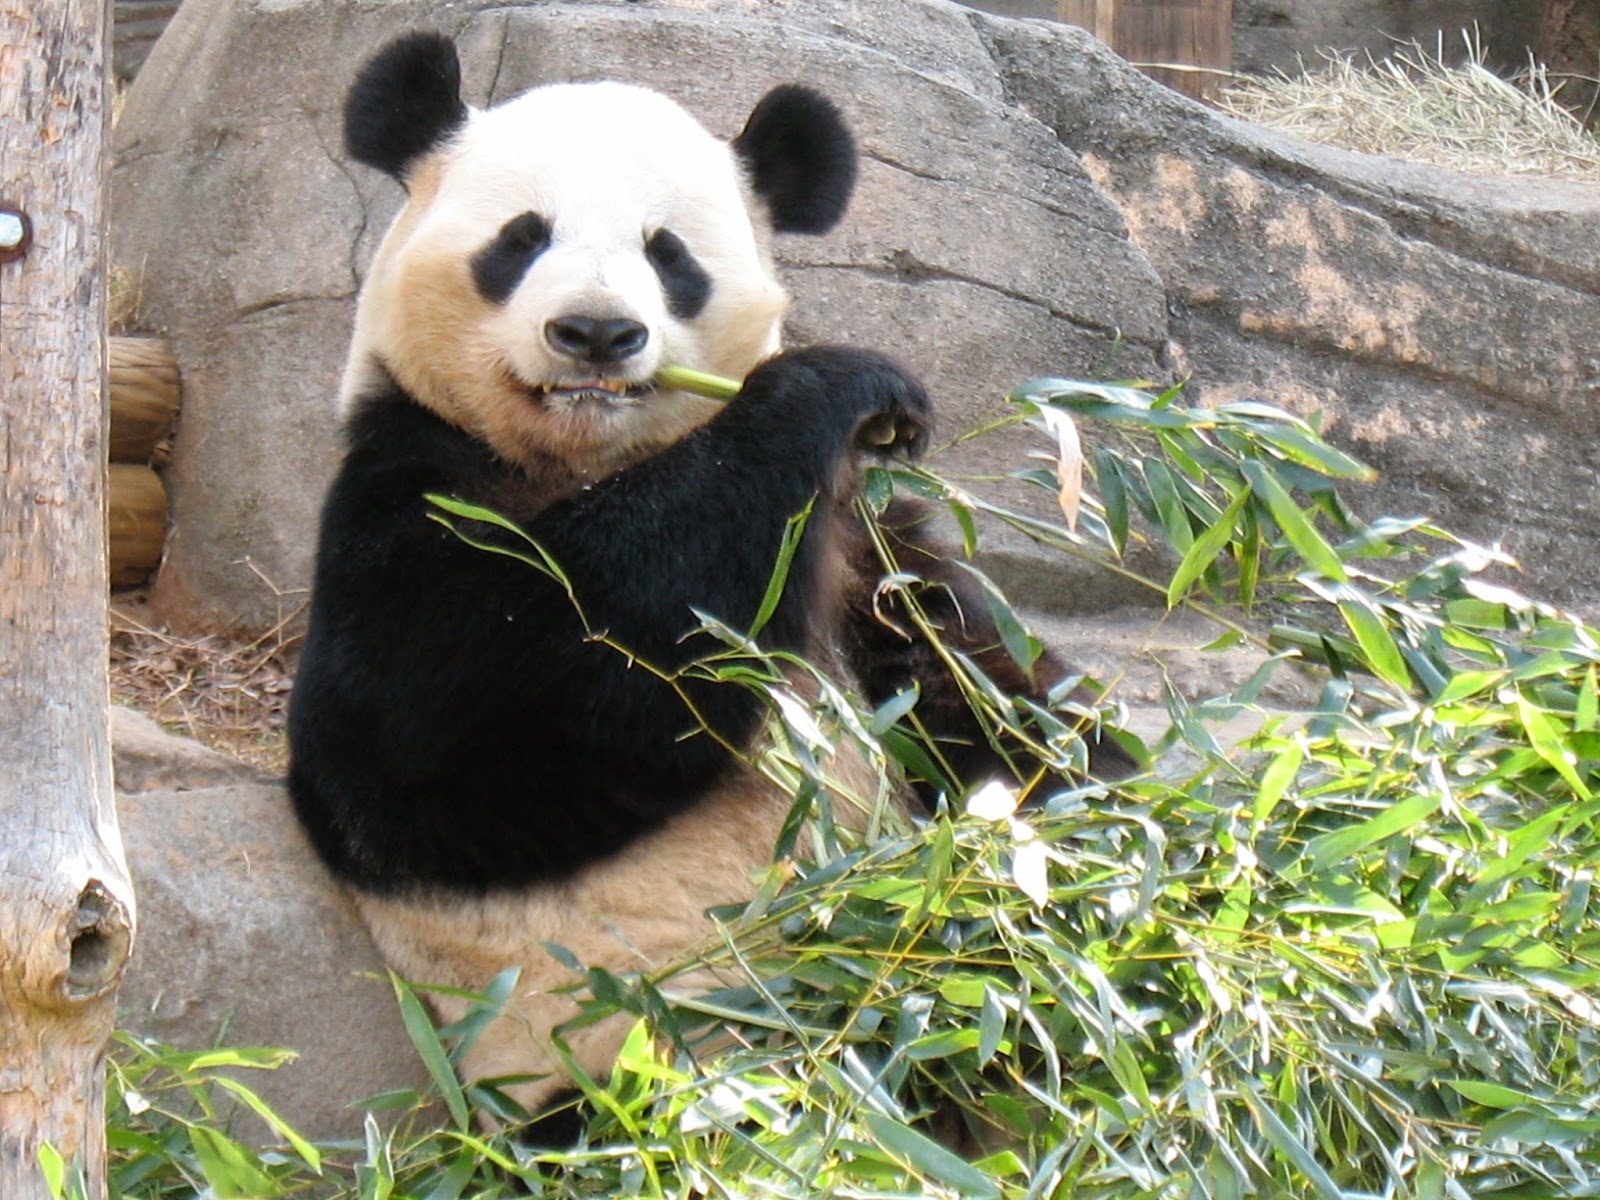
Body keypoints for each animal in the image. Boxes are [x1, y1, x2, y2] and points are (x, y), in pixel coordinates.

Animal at [287, 29, 1130, 1135]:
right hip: (626, 1069)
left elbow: (987, 696)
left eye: (668, 254)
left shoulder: (858, 546)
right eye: (521, 239)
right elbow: (442, 729)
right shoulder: (411, 482)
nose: (596, 334)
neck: (593, 459)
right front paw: (840, 382)